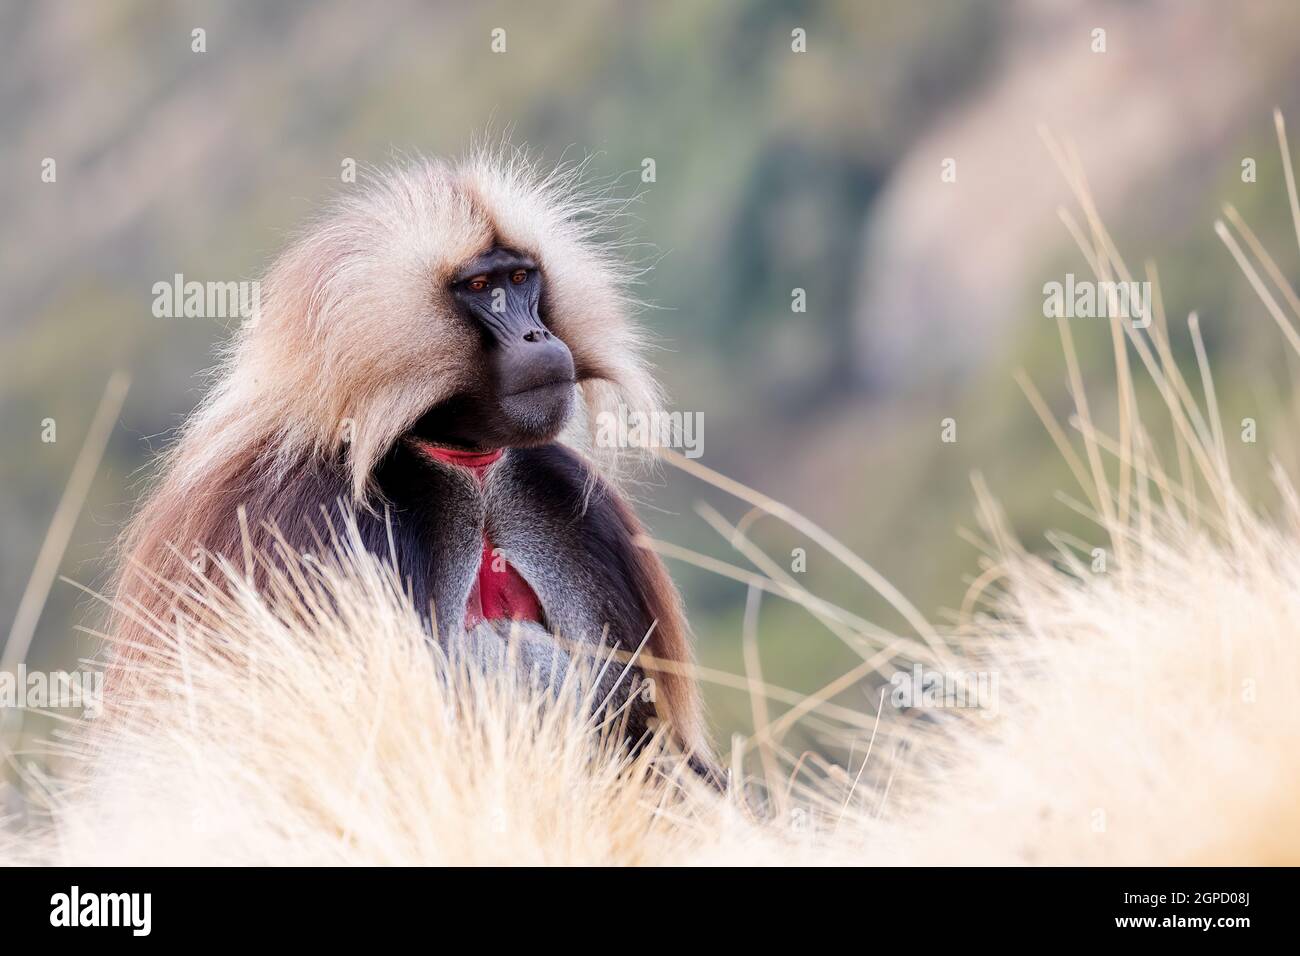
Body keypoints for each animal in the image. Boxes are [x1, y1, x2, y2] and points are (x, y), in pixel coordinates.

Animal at [108, 150, 712, 768]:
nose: (537, 336)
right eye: (479, 286)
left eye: (521, 278)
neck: (468, 466)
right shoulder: (305, 520)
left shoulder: (566, 494)